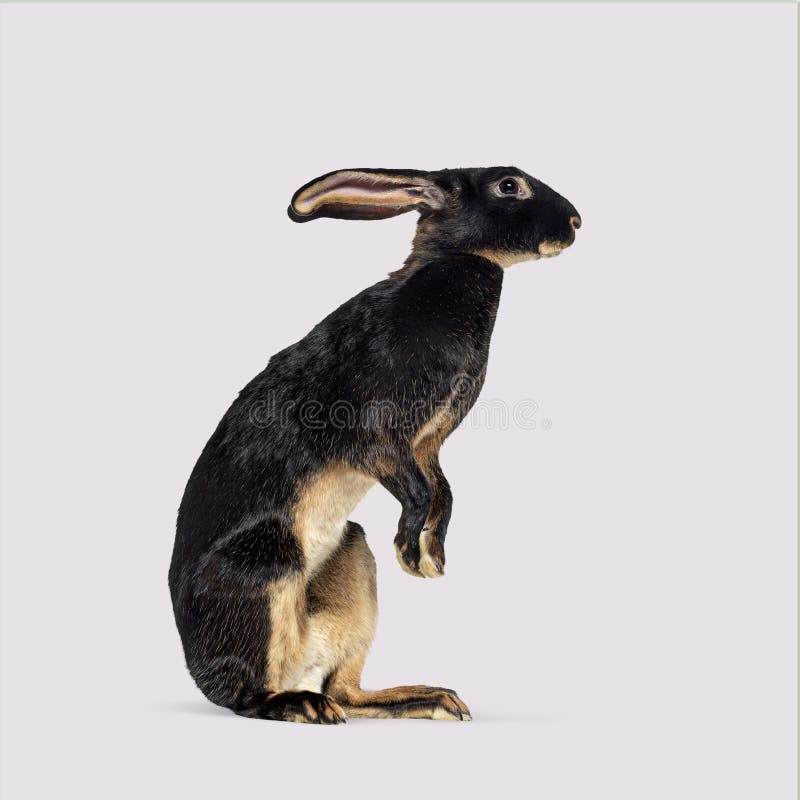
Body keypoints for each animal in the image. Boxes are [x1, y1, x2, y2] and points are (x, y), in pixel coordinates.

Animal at [169, 166, 580, 723]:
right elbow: (419, 490)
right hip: (266, 566)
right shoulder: (372, 434)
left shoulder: (427, 444)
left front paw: (432, 555)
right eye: (508, 186)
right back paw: (300, 705)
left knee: (346, 689)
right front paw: (410, 550)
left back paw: (432, 699)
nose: (575, 223)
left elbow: (444, 491)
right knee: (248, 695)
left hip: (354, 559)